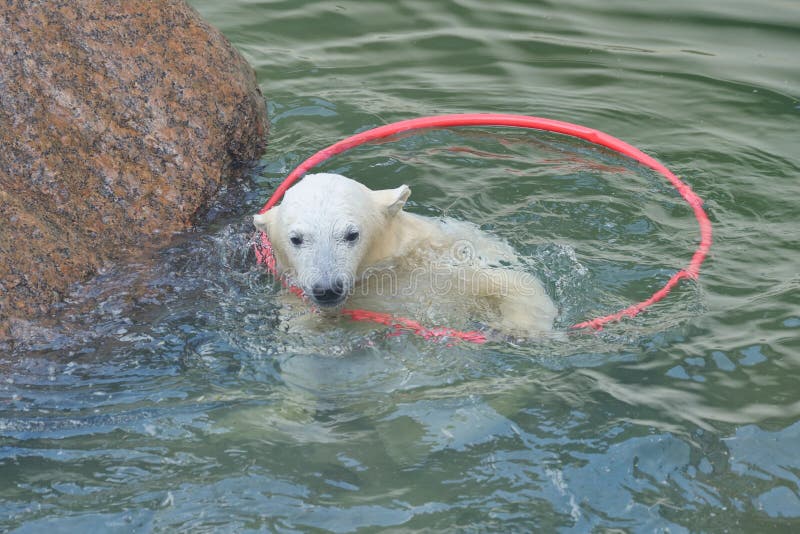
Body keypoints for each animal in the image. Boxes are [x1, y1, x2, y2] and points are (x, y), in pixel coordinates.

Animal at [253, 173, 556, 336]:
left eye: (352, 234)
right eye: (296, 239)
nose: (327, 289)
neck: (381, 270)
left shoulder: (436, 262)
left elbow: (511, 282)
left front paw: (520, 329)